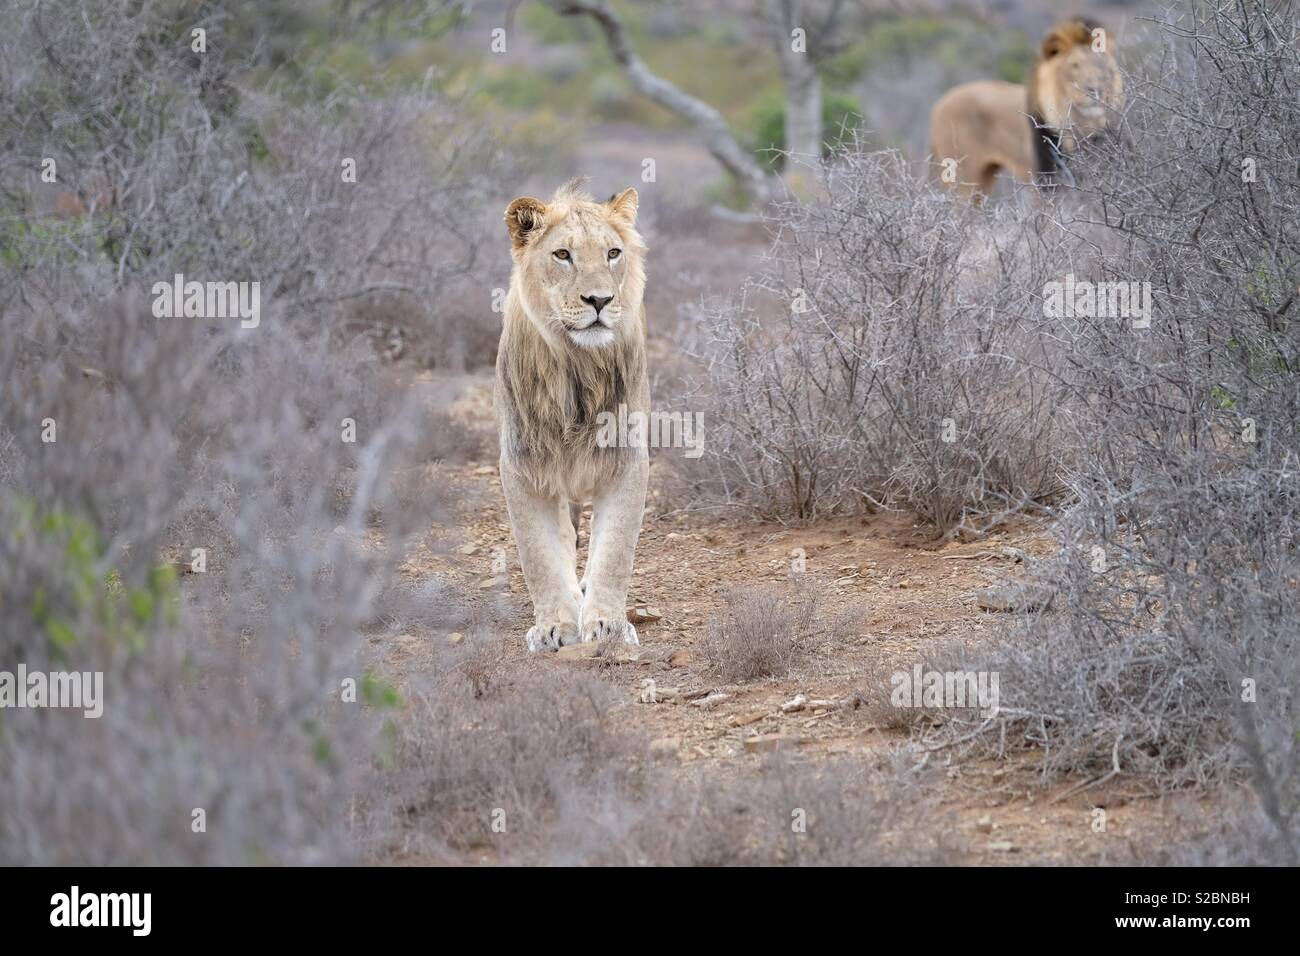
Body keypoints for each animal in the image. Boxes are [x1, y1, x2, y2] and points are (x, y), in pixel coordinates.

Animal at [495, 180, 649, 652]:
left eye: (613, 253)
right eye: (562, 254)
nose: (599, 299)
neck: (577, 369)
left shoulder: (627, 460)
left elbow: (614, 551)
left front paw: (608, 624)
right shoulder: (522, 466)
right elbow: (539, 555)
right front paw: (556, 626)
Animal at [928, 18, 1123, 200]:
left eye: (1104, 66)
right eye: (1075, 65)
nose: (1095, 89)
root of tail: (941, 103)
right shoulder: (1045, 183)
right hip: (964, 178)